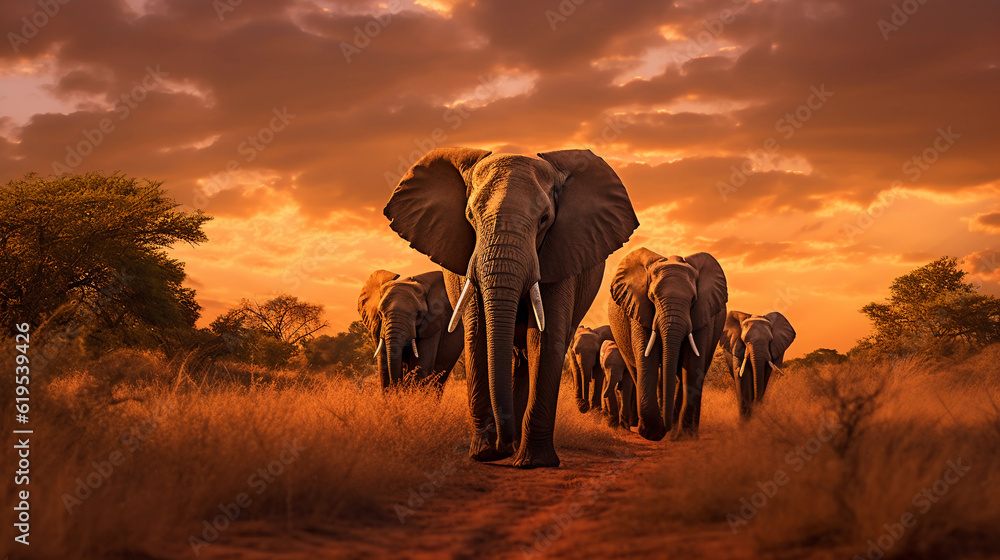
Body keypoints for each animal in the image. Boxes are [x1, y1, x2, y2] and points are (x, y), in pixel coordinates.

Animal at [384, 147, 638, 468]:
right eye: (470, 216)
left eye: (544, 219)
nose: (501, 444)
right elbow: (477, 334)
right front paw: (485, 453)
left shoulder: (561, 253)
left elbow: (544, 337)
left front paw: (533, 461)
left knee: (527, 354)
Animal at [608, 248, 728, 441]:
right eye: (652, 297)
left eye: (693, 299)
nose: (667, 426)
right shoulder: (639, 309)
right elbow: (647, 359)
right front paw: (652, 433)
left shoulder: (703, 313)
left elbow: (692, 362)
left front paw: (684, 436)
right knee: (636, 370)